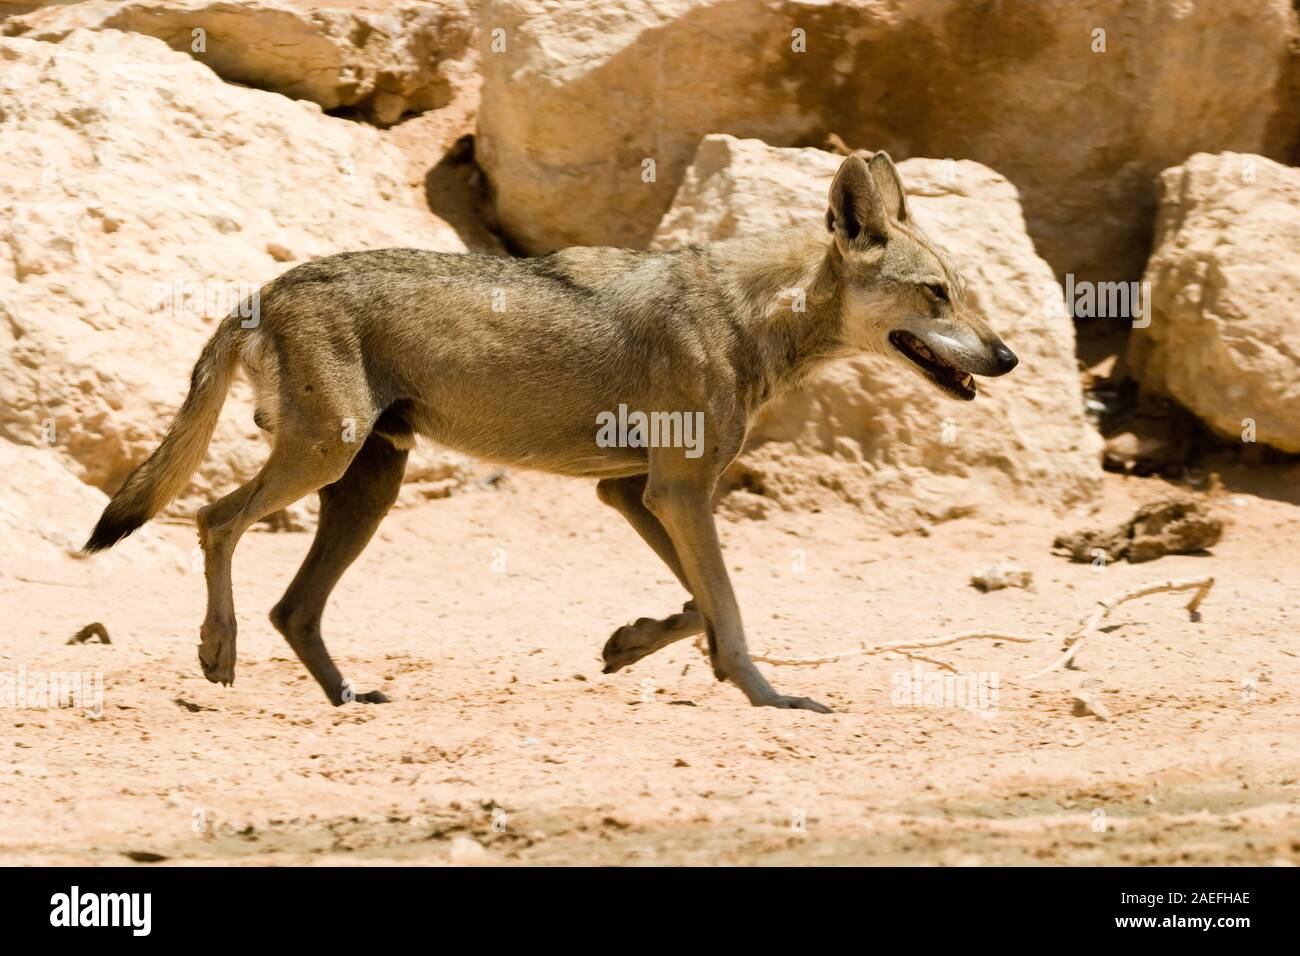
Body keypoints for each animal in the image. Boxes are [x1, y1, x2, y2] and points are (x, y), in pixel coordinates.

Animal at [85, 151, 1018, 713]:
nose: (1006, 356)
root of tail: (263, 289)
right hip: (327, 457)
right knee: (213, 520)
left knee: (294, 606)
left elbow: (702, 603)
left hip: (368, 483)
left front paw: (635, 646)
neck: (755, 312)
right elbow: (730, 603)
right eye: (937, 294)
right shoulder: (678, 490)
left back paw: (348, 698)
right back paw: (219, 650)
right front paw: (770, 697)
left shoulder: (636, 492)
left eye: (962, 293)